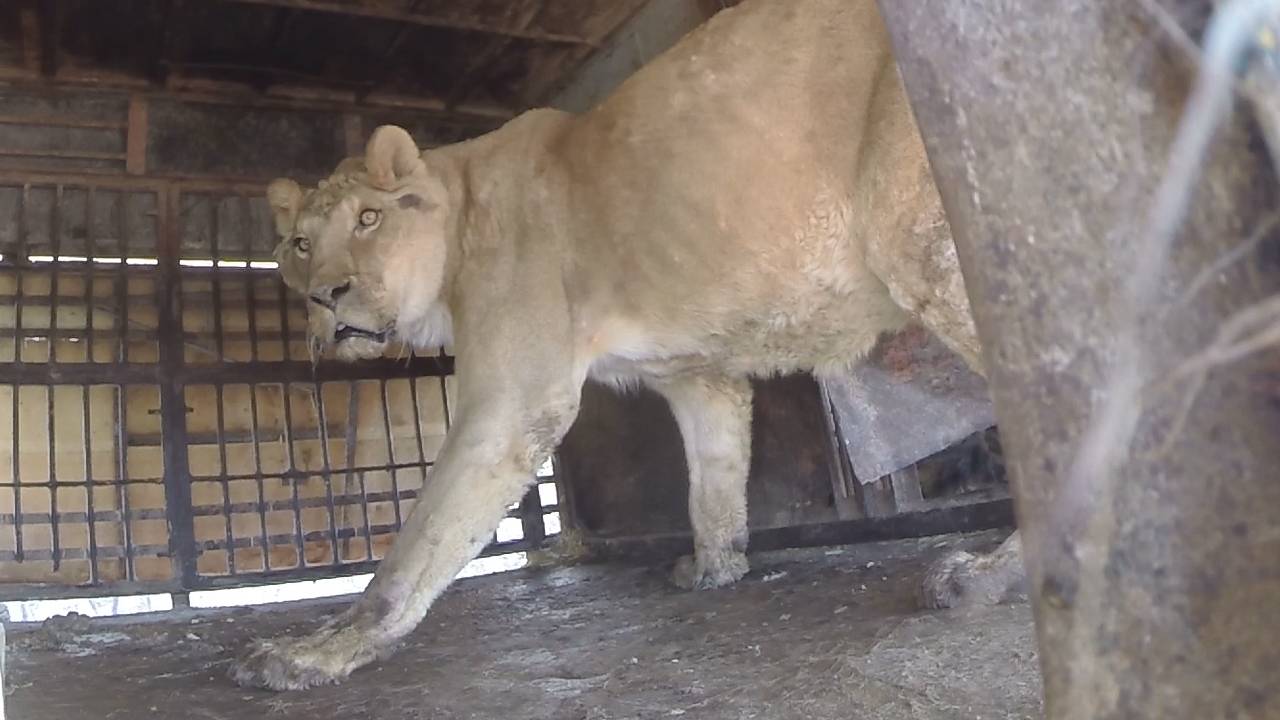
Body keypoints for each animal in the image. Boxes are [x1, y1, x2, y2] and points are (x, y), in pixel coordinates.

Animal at [230, 0, 1025, 691]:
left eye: (368, 219)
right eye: (300, 245)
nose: (325, 296)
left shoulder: (517, 400)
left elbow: (420, 540)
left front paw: (322, 649)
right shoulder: (698, 379)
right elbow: (712, 480)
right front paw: (714, 567)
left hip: (918, 233)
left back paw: (986, 575)